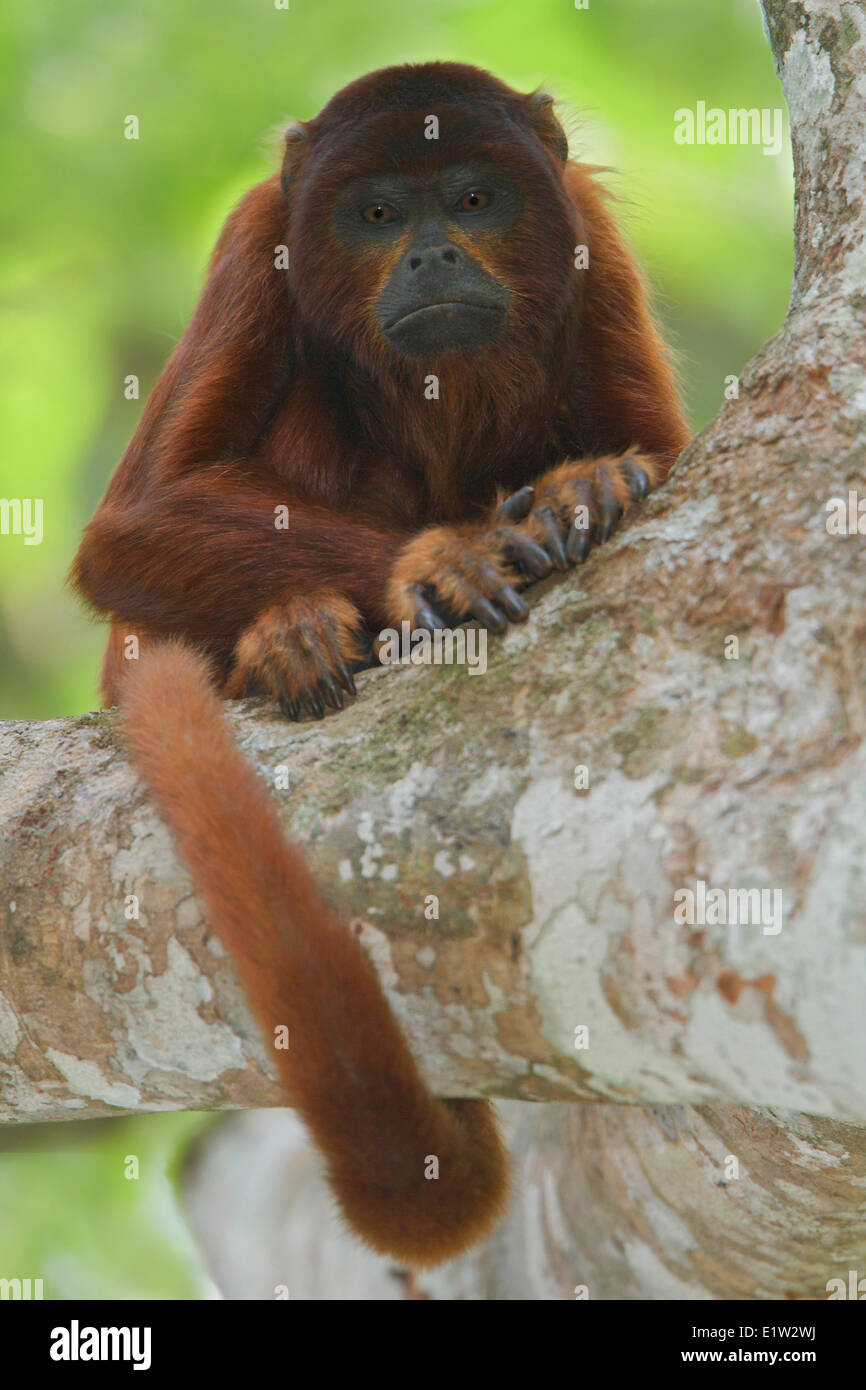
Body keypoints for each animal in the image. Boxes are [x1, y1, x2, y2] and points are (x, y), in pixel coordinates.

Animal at [71, 62, 689, 1267]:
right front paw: (440, 559)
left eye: (473, 201)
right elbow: (128, 526)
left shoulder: (589, 238)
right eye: (375, 215)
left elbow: (670, 459)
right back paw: (292, 638)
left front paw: (582, 486)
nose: (432, 257)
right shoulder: (252, 245)